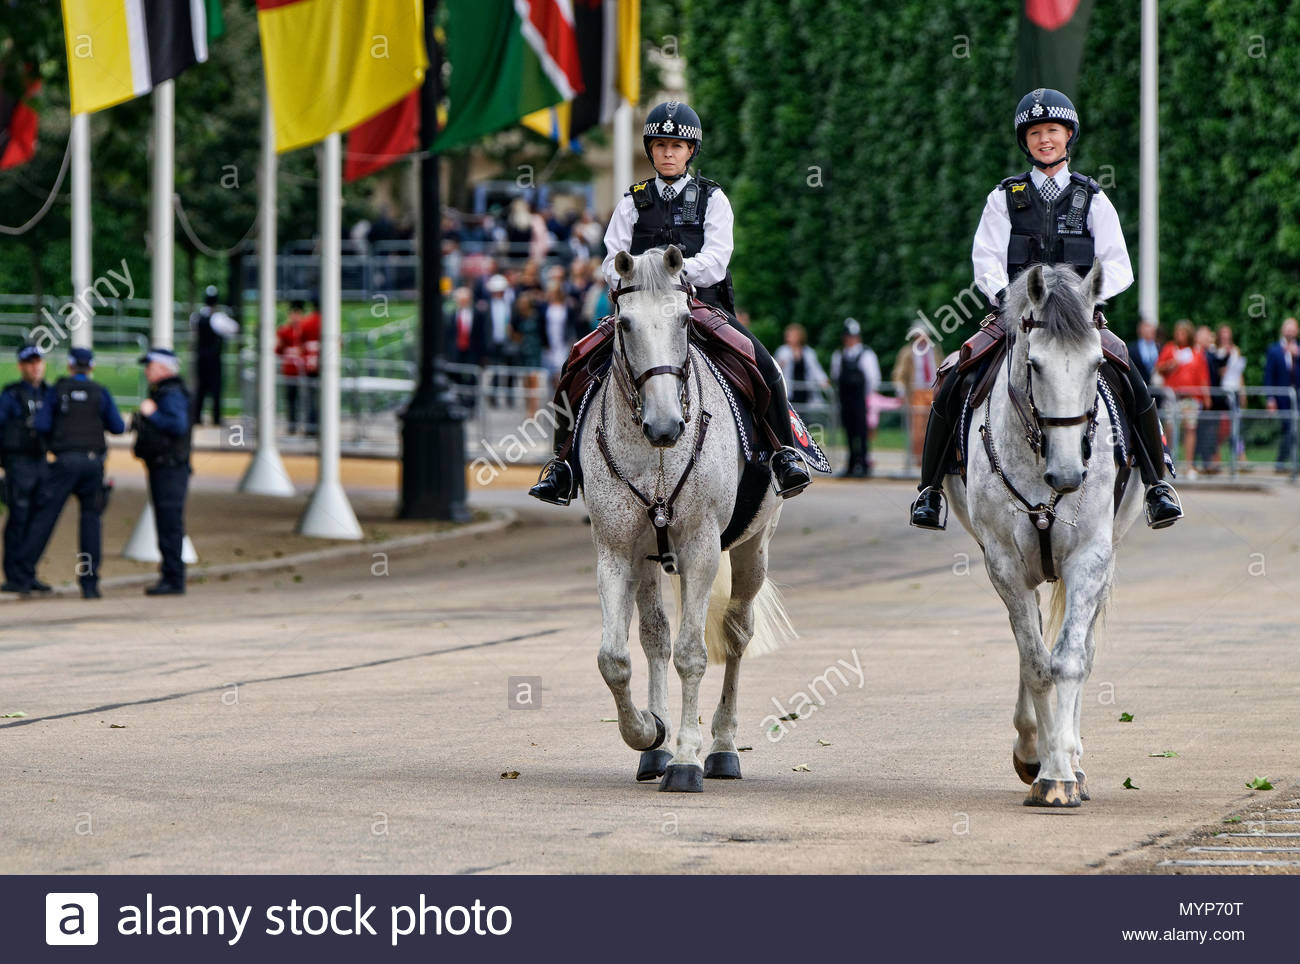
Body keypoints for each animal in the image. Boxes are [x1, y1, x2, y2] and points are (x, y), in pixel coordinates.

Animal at [580, 245, 795, 793]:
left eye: (683, 319)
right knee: (655, 635)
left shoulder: (700, 548)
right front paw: (647, 732)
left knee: (737, 634)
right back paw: (656, 749)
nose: (665, 426)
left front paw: (685, 760)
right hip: (649, 559)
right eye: (625, 324)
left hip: (752, 550)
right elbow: (614, 658)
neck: (655, 456)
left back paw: (721, 749)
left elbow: (692, 655)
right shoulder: (616, 551)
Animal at [946, 261, 1144, 808]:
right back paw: (1035, 746)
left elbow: (1070, 659)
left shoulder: (1090, 558)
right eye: (1034, 365)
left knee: (1080, 648)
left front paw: (1062, 771)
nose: (1069, 473)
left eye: (1096, 364)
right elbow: (1034, 660)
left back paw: (1072, 755)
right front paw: (1043, 765)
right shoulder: (1003, 563)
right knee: (1030, 640)